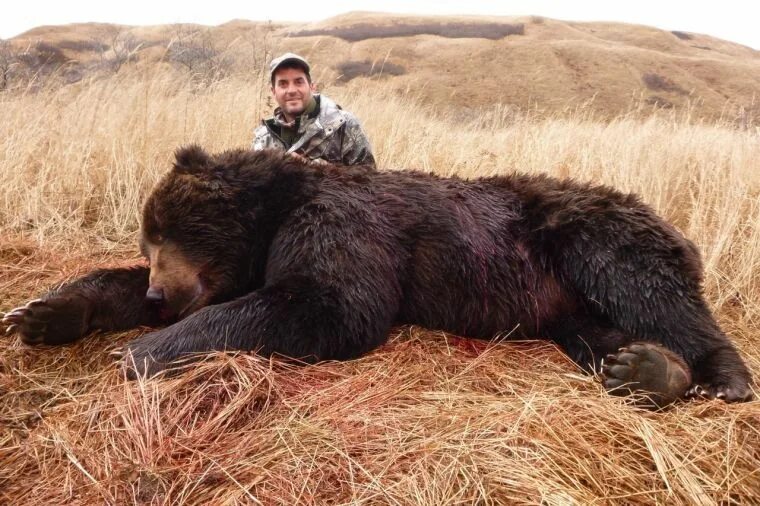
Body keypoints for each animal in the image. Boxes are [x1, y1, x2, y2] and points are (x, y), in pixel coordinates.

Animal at [2, 145, 756, 408]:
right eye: (148, 241)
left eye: (171, 235)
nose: (162, 293)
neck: (277, 208)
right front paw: (41, 312)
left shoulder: (340, 226)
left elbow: (332, 304)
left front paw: (141, 352)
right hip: (560, 305)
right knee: (599, 331)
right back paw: (647, 368)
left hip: (584, 234)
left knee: (649, 291)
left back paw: (719, 375)